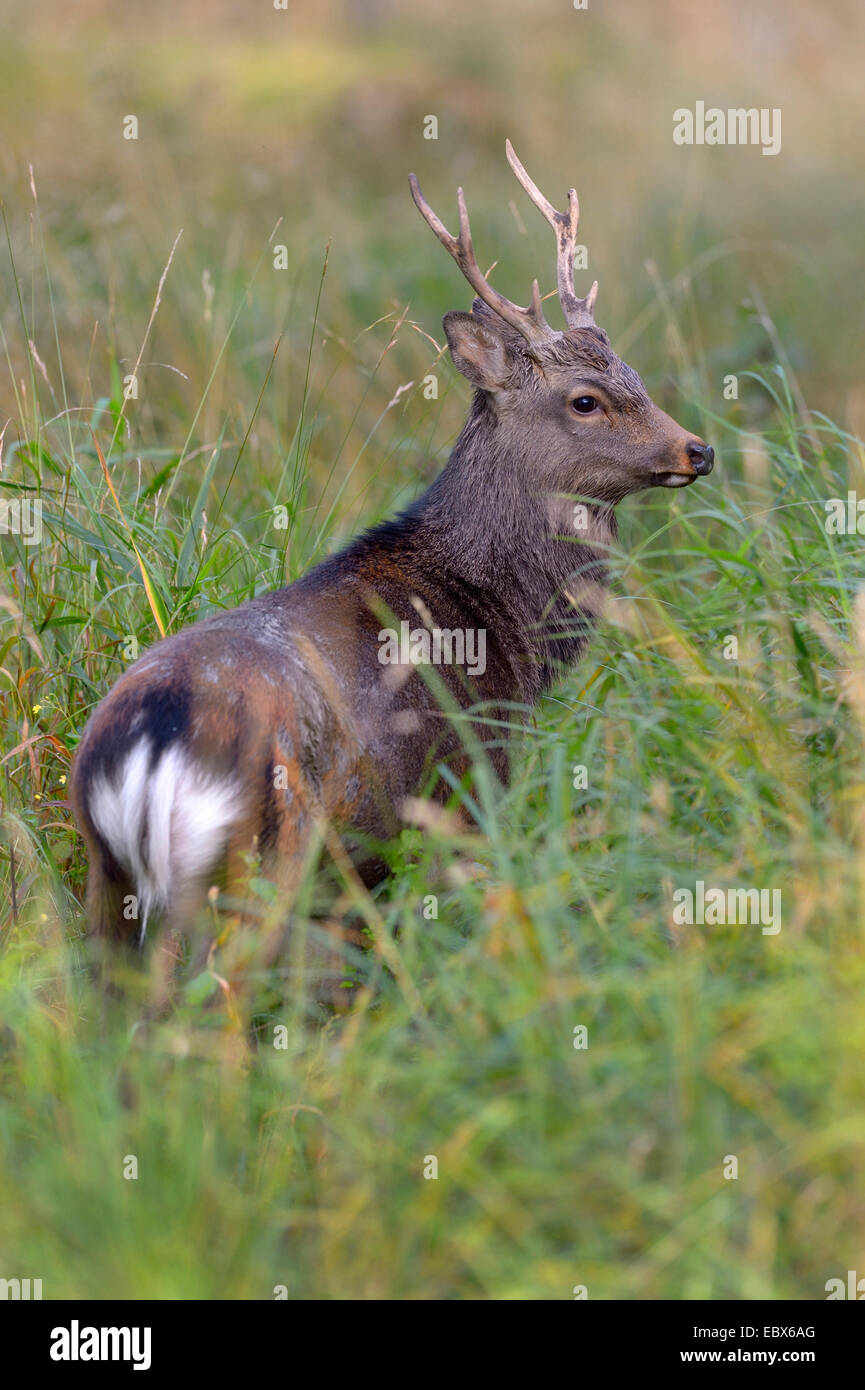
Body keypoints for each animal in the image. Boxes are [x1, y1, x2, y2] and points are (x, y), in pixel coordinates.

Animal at [70, 140, 713, 952]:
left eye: (635, 377)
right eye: (586, 401)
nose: (698, 450)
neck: (496, 619)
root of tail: (148, 748)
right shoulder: (463, 781)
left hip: (108, 879)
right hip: (268, 852)